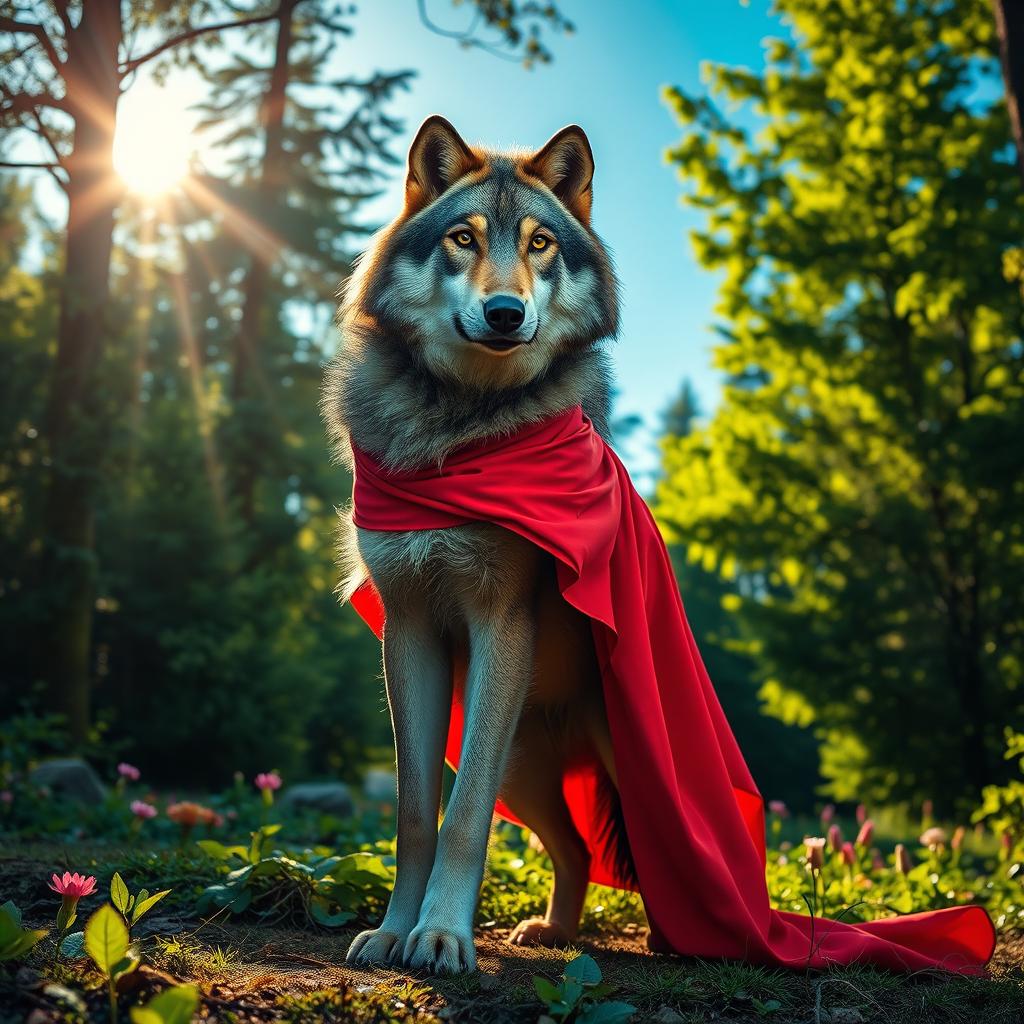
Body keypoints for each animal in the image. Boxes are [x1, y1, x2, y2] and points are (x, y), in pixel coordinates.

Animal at [321, 115, 628, 974]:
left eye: (539, 244)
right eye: (464, 237)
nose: (503, 313)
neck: (457, 430)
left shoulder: (502, 621)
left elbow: (462, 819)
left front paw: (442, 936)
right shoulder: (409, 628)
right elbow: (416, 813)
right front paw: (394, 931)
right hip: (523, 772)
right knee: (577, 848)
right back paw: (553, 931)